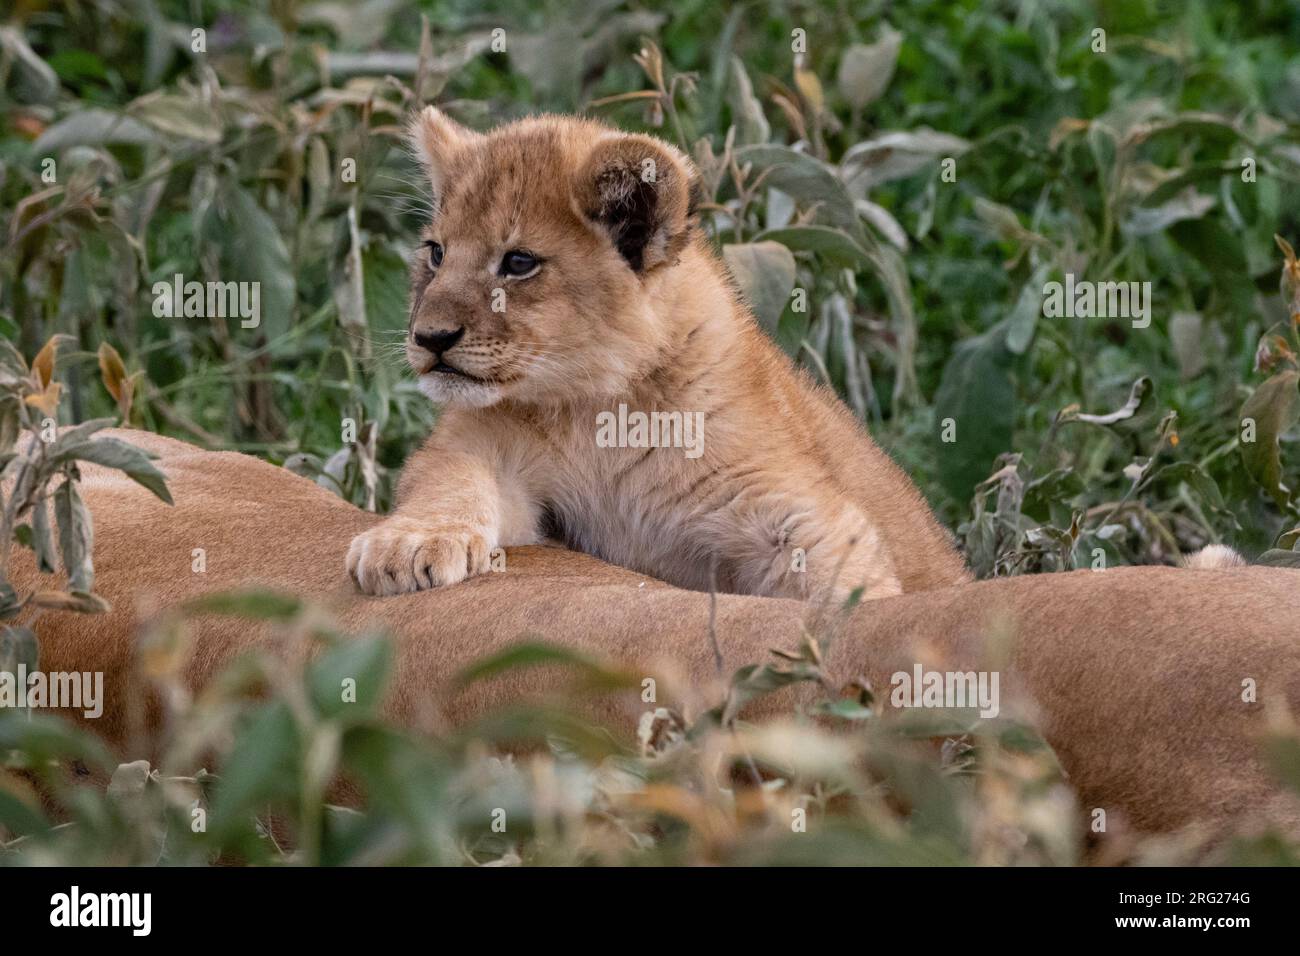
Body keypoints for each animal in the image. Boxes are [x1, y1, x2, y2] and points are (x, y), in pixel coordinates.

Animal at [345, 107, 968, 601]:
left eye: (519, 262)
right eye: (436, 253)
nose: (429, 338)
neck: (596, 410)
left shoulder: (790, 504)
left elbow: (841, 572)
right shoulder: (485, 449)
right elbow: (449, 481)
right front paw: (406, 545)